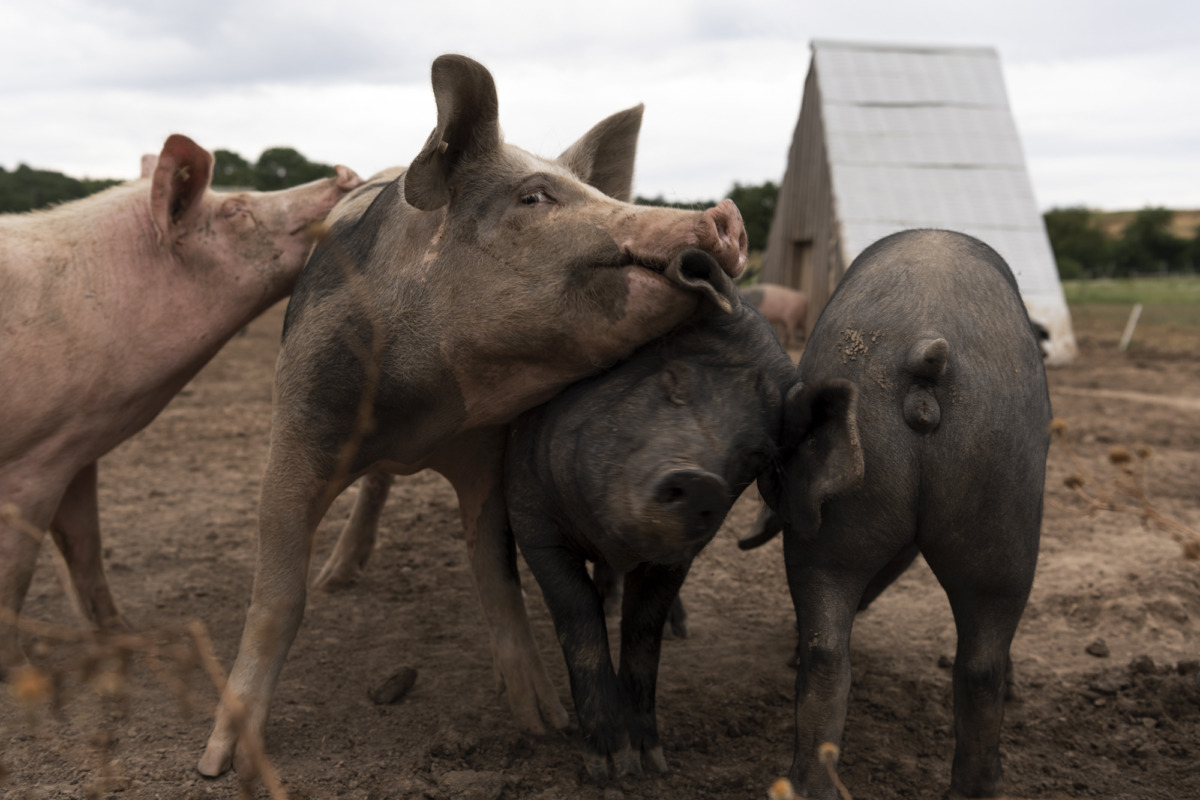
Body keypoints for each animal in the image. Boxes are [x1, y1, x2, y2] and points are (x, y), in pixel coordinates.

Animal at [0, 135, 361, 677]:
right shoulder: (32, 461)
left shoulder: (75, 449)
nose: (343, 173)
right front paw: (23, 674)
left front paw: (129, 640)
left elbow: (85, 546)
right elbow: (14, 573)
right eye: (236, 208)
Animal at [197, 53, 748, 778]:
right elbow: (278, 597)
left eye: (591, 192)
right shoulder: (296, 432)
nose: (726, 214)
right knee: (374, 491)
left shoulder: (488, 456)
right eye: (534, 197)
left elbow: (499, 575)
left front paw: (546, 722)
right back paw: (339, 575)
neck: (422, 414)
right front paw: (221, 764)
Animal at [503, 296, 861, 781]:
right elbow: (579, 624)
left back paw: (676, 626)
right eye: (671, 381)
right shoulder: (531, 519)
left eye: (757, 453)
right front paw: (608, 768)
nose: (700, 482)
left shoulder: (677, 560)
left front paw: (650, 765)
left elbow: (643, 635)